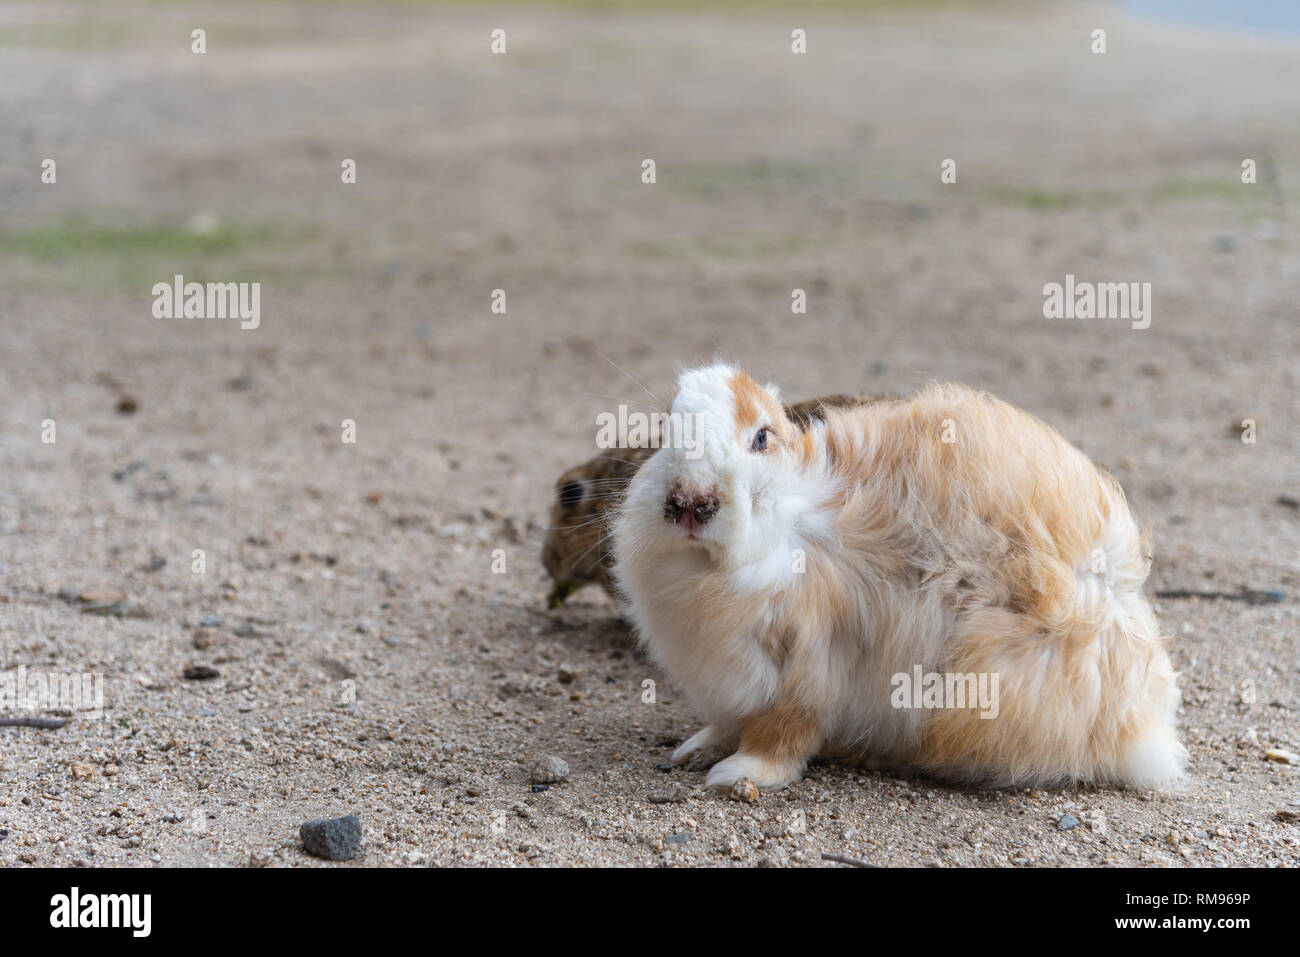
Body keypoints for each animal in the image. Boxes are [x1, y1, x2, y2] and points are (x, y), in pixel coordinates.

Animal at [611, 363, 1185, 791]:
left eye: (760, 439)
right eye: (667, 433)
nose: (690, 504)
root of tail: (1144, 718)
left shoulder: (806, 667)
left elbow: (781, 735)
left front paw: (735, 775)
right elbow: (725, 723)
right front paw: (693, 749)